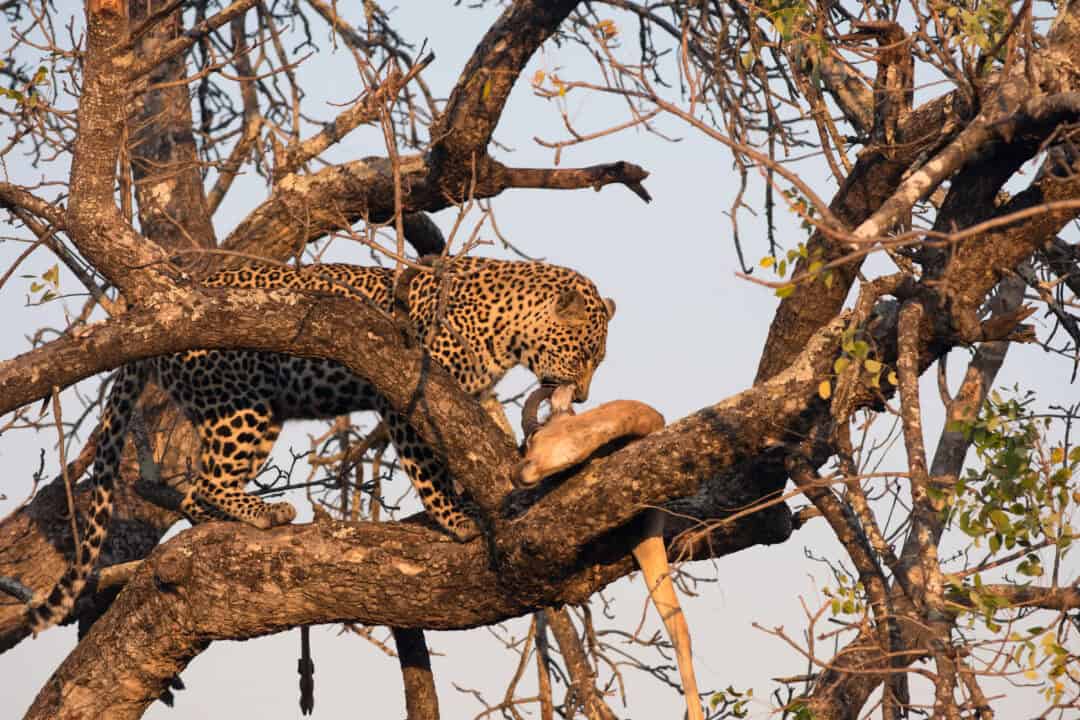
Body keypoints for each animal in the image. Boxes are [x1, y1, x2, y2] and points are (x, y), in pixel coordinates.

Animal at [27, 255, 615, 632]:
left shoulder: (471, 393)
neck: (504, 327)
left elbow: (484, 432)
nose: (585, 395)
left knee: (196, 495)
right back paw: (263, 512)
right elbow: (427, 467)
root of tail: (165, 313)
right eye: (585, 351)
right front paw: (454, 518)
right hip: (245, 407)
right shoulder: (405, 395)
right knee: (204, 485)